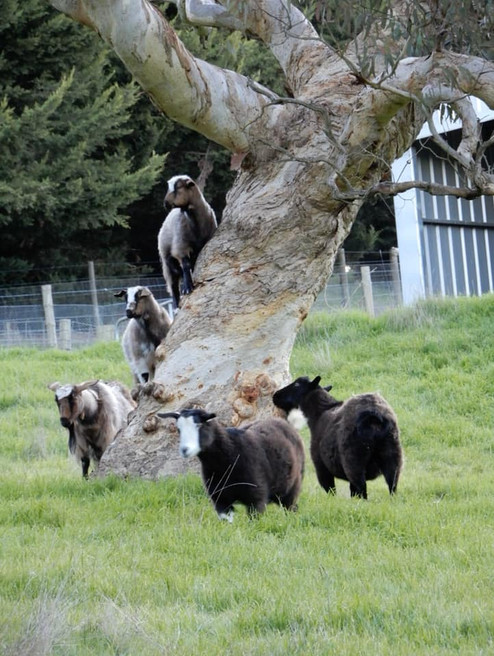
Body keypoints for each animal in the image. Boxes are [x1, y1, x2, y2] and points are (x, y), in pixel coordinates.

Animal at [158, 175, 217, 309]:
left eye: (177, 187)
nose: (165, 203)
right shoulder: (181, 246)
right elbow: (186, 265)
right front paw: (187, 287)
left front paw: (187, 284)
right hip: (165, 258)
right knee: (173, 283)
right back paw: (175, 305)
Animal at [158, 409, 305, 522]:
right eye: (179, 430)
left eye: (199, 426)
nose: (184, 450)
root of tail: (283, 422)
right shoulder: (220, 500)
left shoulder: (256, 498)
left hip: (293, 486)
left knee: (291, 507)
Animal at [273, 376, 402, 499]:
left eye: (297, 384)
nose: (275, 396)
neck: (320, 412)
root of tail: (374, 415)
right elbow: (352, 492)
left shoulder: (321, 467)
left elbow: (331, 491)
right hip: (392, 456)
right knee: (392, 485)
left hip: (354, 461)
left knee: (362, 489)